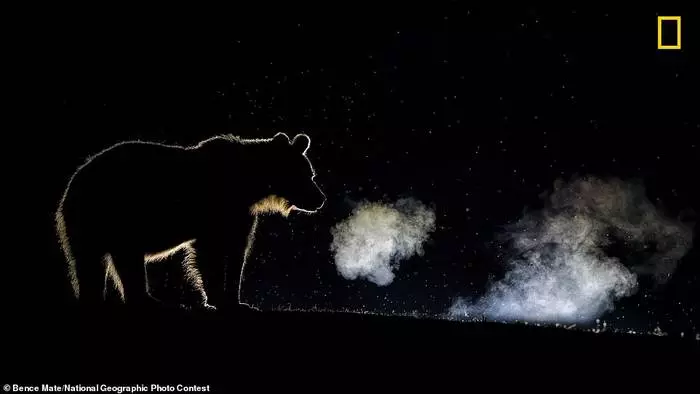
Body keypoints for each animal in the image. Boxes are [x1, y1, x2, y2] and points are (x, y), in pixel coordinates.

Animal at [56, 132, 326, 310]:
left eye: (311, 174)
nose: (321, 199)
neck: (249, 185)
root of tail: (74, 181)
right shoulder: (215, 211)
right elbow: (210, 253)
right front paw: (218, 297)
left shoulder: (241, 214)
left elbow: (237, 251)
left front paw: (237, 300)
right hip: (113, 214)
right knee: (121, 260)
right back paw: (148, 301)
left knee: (93, 263)